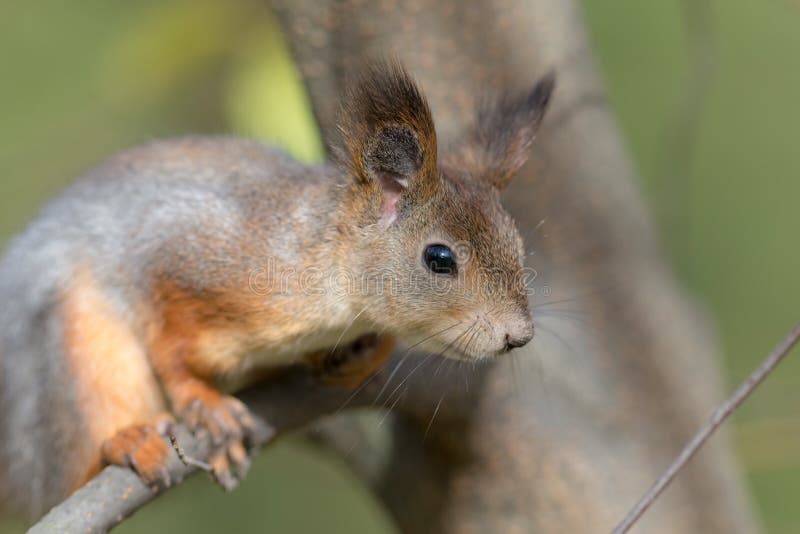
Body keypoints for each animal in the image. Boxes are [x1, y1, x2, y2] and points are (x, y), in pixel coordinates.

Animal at [0, 60, 553, 515]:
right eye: (439, 259)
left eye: (517, 242)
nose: (519, 336)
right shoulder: (181, 252)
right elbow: (168, 343)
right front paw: (203, 401)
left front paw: (361, 355)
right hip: (73, 354)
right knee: (70, 466)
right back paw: (130, 441)